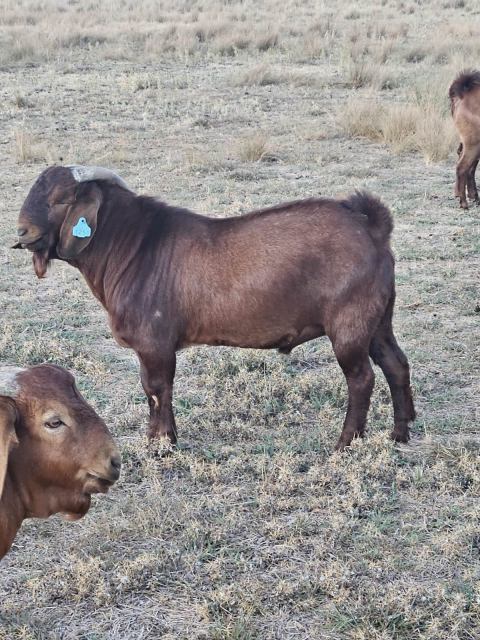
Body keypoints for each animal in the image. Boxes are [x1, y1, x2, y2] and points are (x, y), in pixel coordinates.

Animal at [14, 165, 415, 451]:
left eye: (61, 199)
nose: (21, 232)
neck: (131, 245)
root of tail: (371, 228)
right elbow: (152, 390)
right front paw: (160, 438)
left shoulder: (155, 343)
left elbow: (157, 388)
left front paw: (161, 445)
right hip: (379, 320)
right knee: (395, 363)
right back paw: (401, 432)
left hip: (350, 323)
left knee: (361, 378)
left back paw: (345, 443)